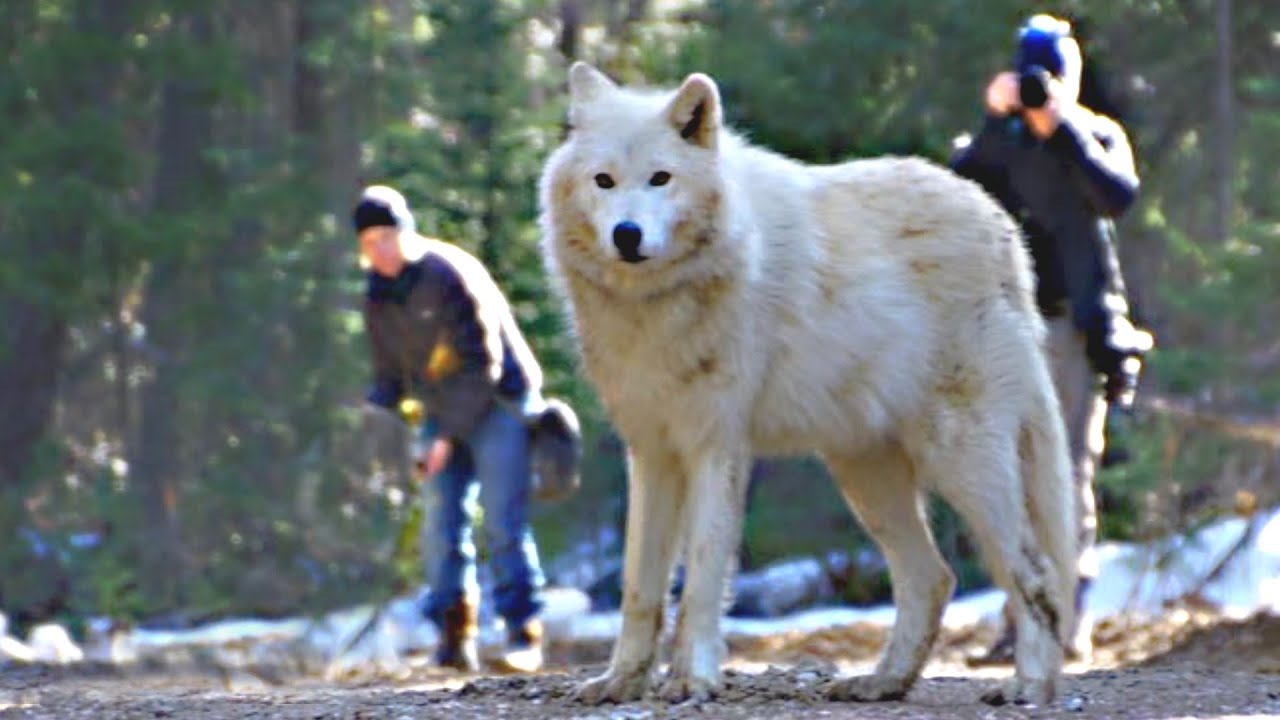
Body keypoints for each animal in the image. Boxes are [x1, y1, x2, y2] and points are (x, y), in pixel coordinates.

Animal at [537, 62, 1077, 707]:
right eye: (604, 181)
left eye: (660, 178)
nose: (626, 234)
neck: (658, 309)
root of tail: (1005, 232)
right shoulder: (652, 452)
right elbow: (639, 587)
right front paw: (621, 681)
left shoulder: (716, 446)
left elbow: (701, 578)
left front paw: (693, 679)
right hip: (866, 474)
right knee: (933, 577)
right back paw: (882, 682)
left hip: (963, 464)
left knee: (1035, 575)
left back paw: (1030, 687)